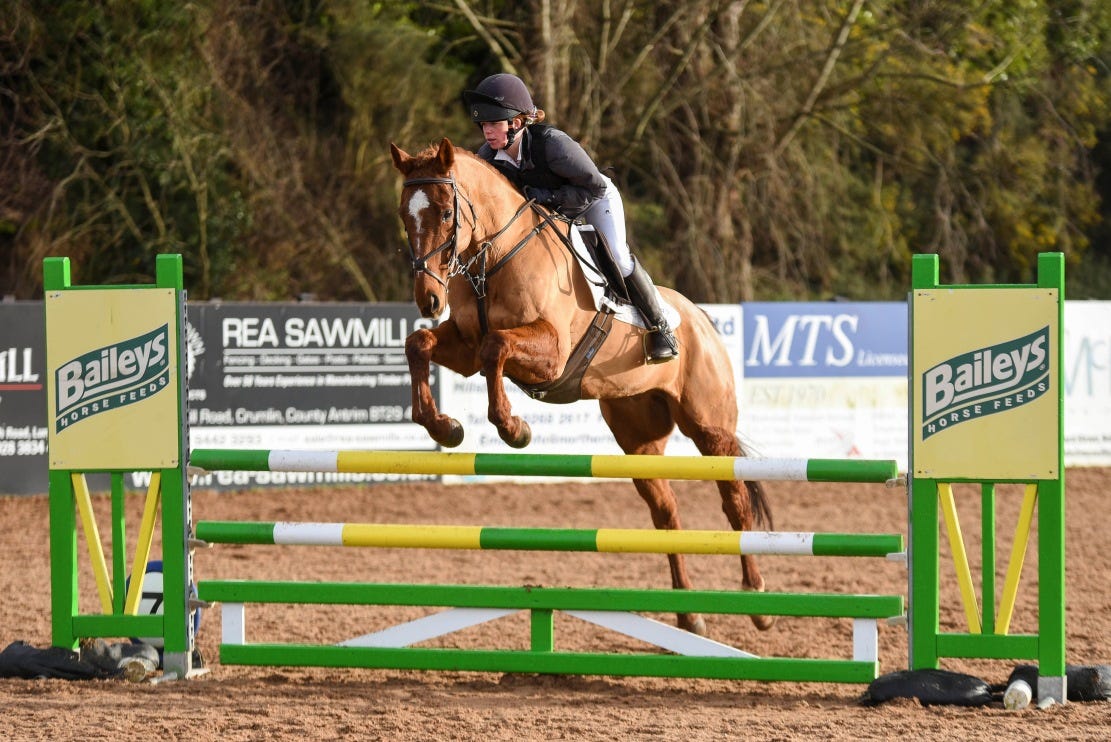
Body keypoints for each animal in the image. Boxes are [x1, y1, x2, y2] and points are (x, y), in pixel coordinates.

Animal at [389, 138, 773, 634]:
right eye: (406, 215)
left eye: (444, 212)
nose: (429, 300)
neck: (498, 256)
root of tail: (701, 318)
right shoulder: (465, 345)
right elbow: (420, 343)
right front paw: (444, 427)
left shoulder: (550, 351)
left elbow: (497, 347)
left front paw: (514, 429)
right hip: (638, 436)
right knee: (666, 511)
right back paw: (689, 613)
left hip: (710, 428)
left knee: (735, 501)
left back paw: (757, 600)